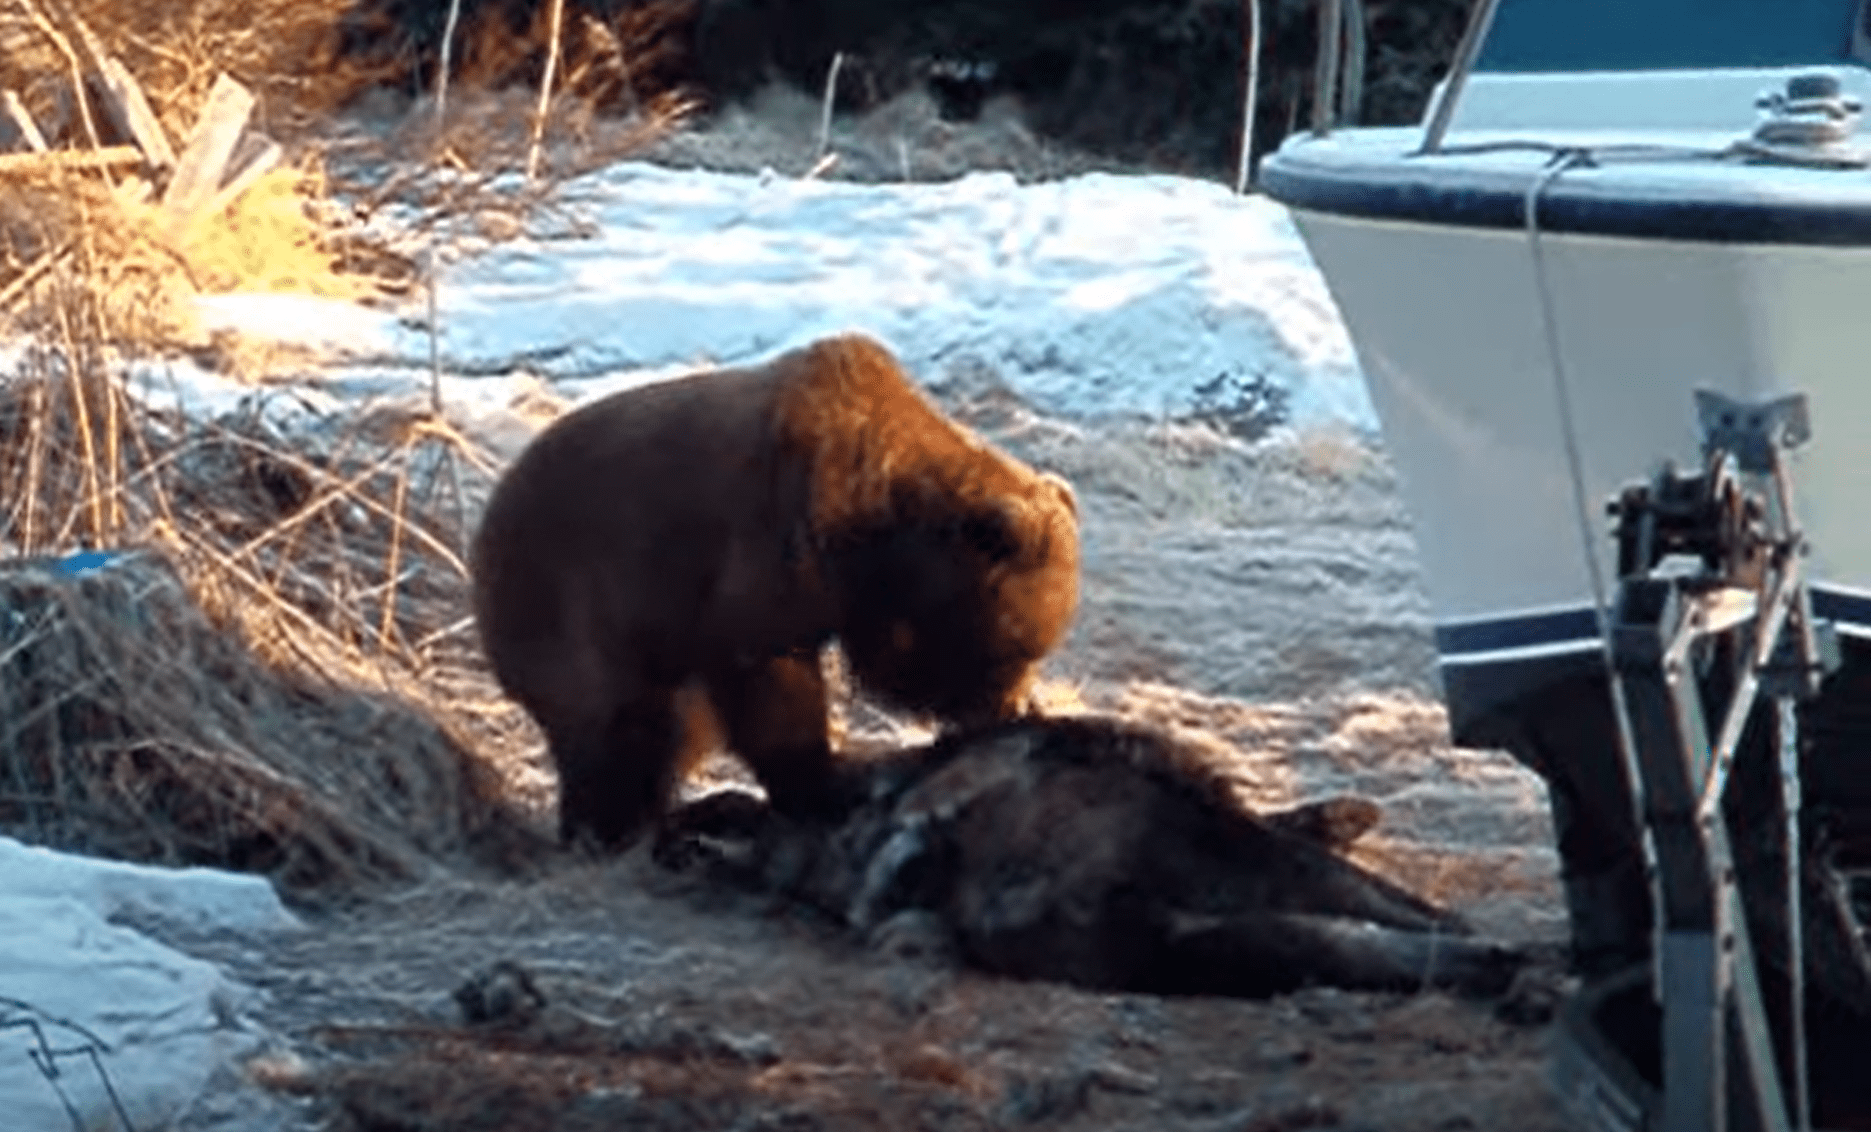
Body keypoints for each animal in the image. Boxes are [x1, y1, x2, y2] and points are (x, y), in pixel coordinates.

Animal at [471, 333, 1080, 848]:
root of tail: (487, 522)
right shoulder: (769, 544)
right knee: (613, 727)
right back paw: (610, 829)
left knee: (667, 728)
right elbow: (767, 678)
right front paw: (827, 783)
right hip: (571, 601)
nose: (1012, 705)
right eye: (1013, 648)